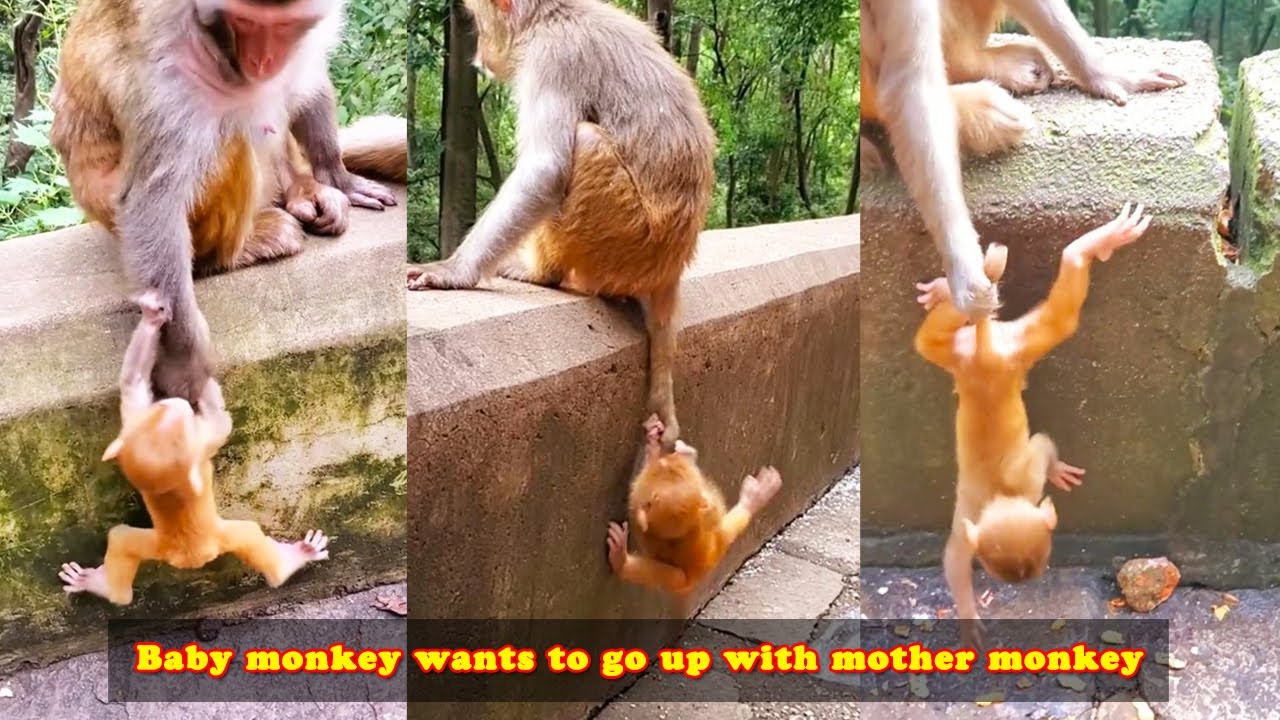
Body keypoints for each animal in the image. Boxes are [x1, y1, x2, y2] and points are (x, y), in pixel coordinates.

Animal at [50, 0, 406, 406]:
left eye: (285, 27)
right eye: (245, 23)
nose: (264, 61)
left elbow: (308, 77)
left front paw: (337, 176)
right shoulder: (167, 71)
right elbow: (152, 202)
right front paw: (183, 366)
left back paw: (302, 189)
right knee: (230, 135)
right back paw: (239, 249)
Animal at [59, 291, 330, 606]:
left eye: (163, 412)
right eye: (179, 422)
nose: (178, 403)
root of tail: (189, 558)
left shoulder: (135, 426)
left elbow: (132, 381)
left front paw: (151, 317)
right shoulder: (199, 441)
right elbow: (220, 425)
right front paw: (206, 384)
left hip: (153, 543)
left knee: (120, 541)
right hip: (222, 535)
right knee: (252, 537)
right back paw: (293, 559)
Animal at [405, 0, 717, 449]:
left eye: (480, 24)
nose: (478, 55)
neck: (555, 16)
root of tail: (671, 266)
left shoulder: (552, 60)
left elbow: (546, 170)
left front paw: (453, 270)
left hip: (623, 240)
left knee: (583, 141)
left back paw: (542, 272)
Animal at [913, 203, 1152, 647]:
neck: (1006, 495)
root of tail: (987, 353)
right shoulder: (981, 510)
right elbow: (956, 557)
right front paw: (968, 616)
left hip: (984, 350)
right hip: (1001, 348)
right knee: (1058, 317)